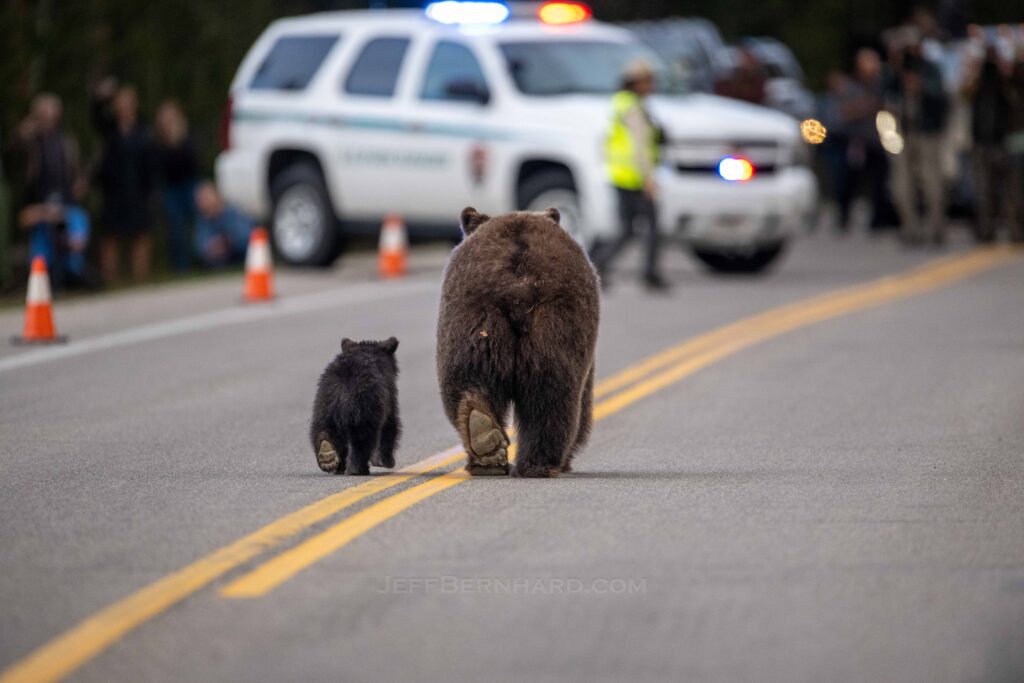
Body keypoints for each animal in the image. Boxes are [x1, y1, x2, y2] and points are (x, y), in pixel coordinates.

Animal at [310, 337, 401, 476]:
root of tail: (342, 388)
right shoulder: (388, 395)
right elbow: (390, 423)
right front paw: (386, 460)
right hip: (365, 407)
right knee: (362, 439)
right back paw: (357, 468)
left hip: (324, 405)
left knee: (323, 428)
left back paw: (327, 455)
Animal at [436, 207, 600, 478]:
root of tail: (516, 285)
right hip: (554, 317)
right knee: (553, 392)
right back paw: (539, 462)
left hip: (476, 314)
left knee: (470, 378)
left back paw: (484, 440)